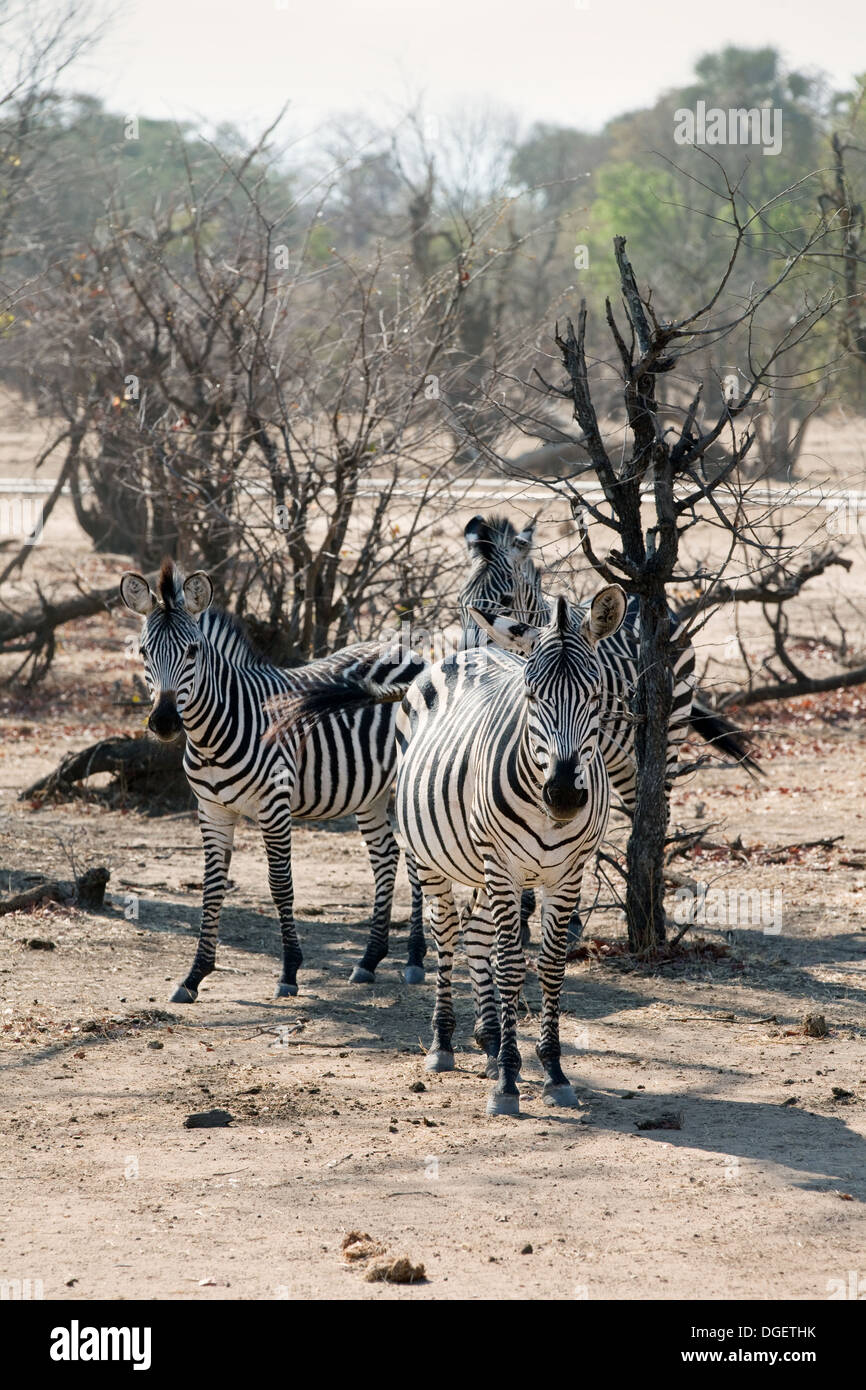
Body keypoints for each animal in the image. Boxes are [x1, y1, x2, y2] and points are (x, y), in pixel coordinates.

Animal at [118, 561, 427, 1001]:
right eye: (144, 652)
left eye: (193, 651)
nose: (163, 723)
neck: (212, 734)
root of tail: (408, 651)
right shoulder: (211, 811)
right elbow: (212, 886)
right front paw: (194, 976)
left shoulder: (273, 806)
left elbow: (280, 884)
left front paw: (290, 971)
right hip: (370, 792)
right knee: (386, 856)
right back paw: (369, 960)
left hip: (407, 781)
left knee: (418, 859)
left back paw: (415, 958)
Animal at [394, 587, 627, 1116]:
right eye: (532, 696)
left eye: (595, 697)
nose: (563, 795)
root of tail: (471, 652)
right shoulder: (501, 865)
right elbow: (510, 962)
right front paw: (506, 1081)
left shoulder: (568, 873)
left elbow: (551, 964)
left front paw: (552, 1071)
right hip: (432, 857)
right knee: (448, 931)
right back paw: (445, 1044)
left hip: (482, 865)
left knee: (478, 933)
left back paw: (488, 1042)